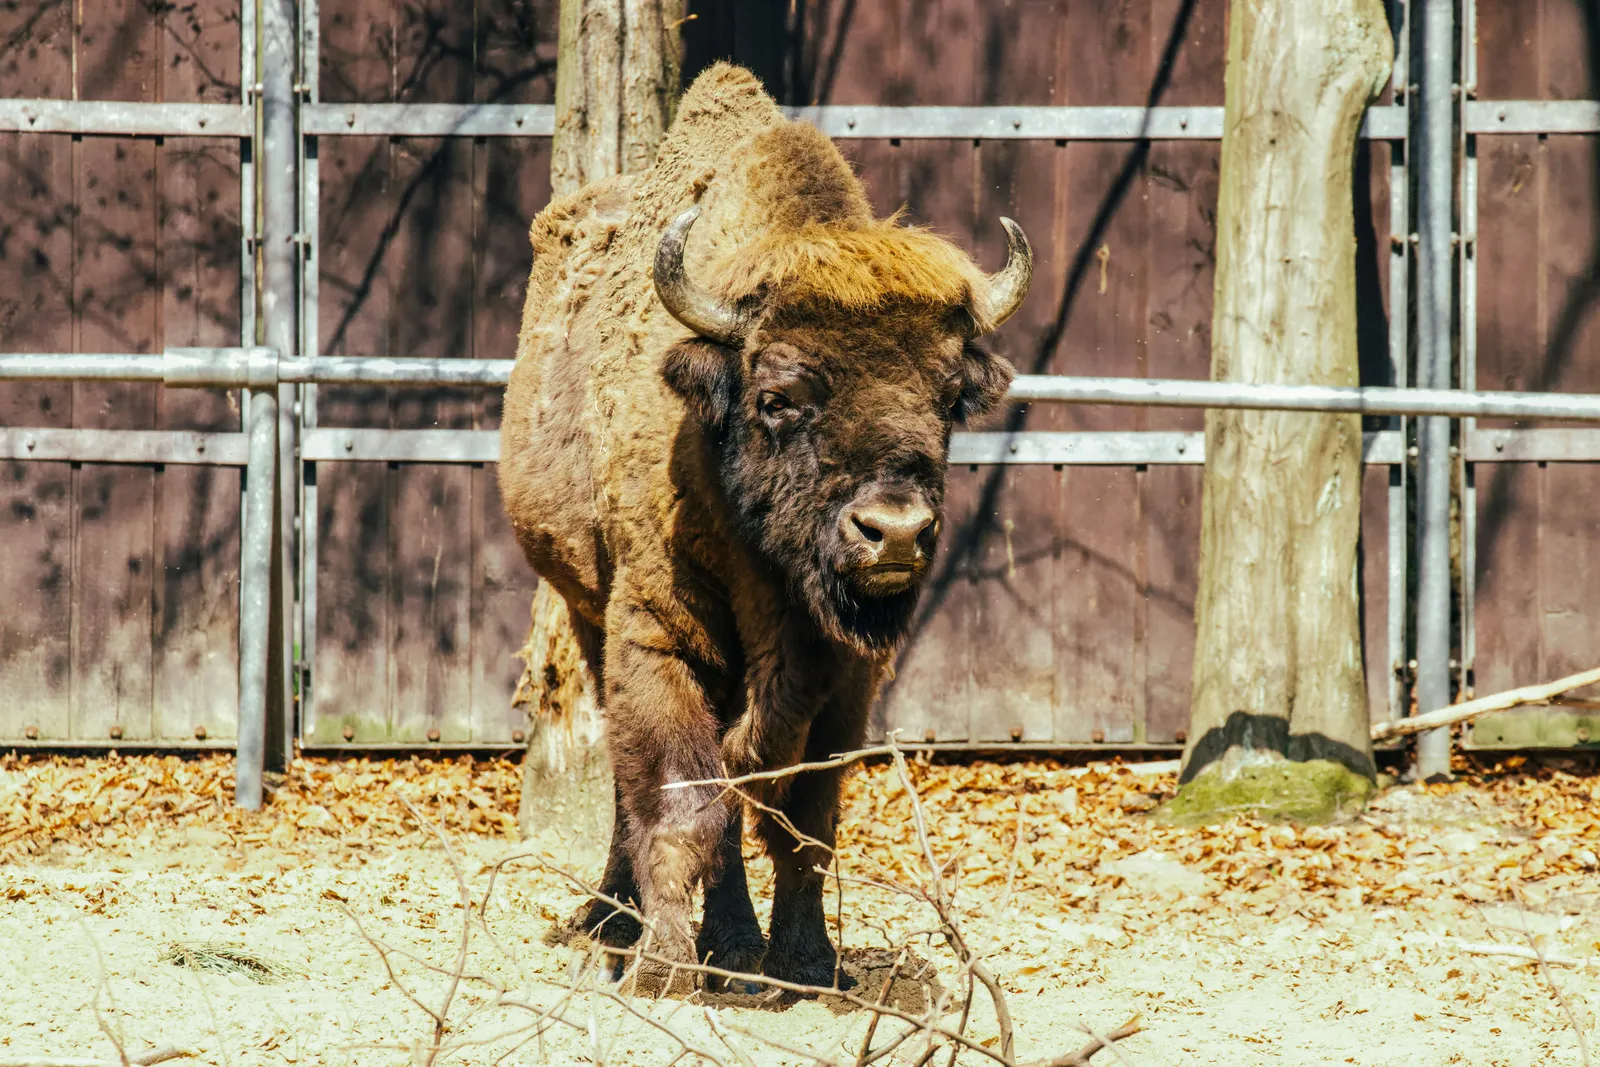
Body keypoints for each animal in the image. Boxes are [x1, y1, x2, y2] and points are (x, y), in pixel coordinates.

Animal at [499, 63, 1032, 992]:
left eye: (945, 396)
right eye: (779, 396)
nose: (894, 532)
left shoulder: (849, 674)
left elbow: (805, 821)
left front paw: (809, 962)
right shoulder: (656, 636)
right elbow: (679, 804)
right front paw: (663, 970)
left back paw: (738, 948)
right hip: (586, 607)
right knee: (638, 791)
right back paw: (616, 921)